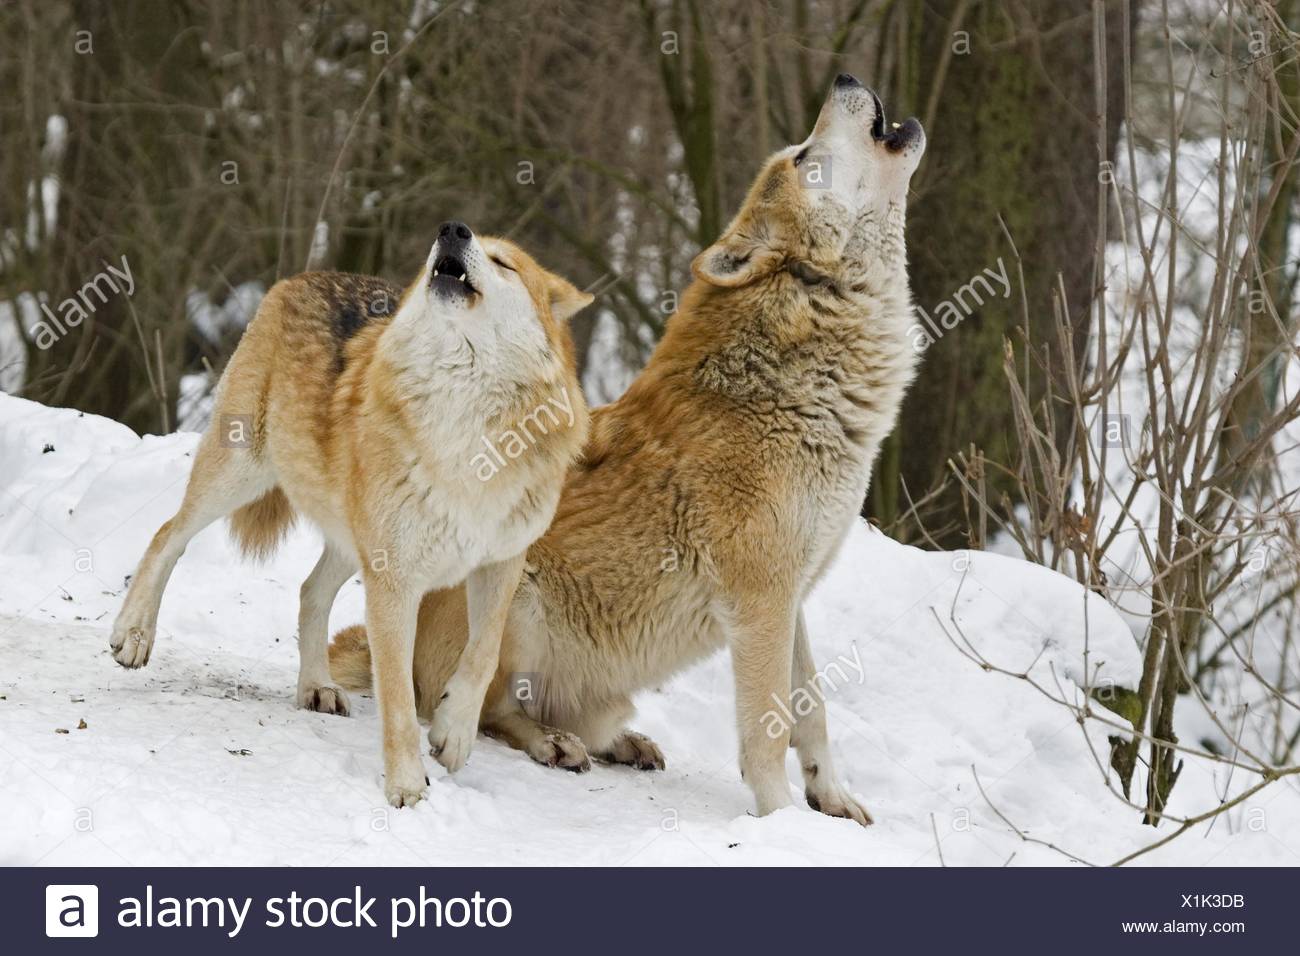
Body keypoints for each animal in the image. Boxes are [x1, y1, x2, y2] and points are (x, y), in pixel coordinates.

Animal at [108, 222, 592, 807]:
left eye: (505, 263)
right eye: (477, 249)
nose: (452, 230)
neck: (467, 430)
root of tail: (304, 276)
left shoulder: (501, 565)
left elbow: (482, 656)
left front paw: (453, 735)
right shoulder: (395, 581)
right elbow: (398, 698)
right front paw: (407, 787)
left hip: (348, 541)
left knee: (308, 591)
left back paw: (315, 686)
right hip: (240, 475)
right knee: (167, 533)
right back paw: (134, 634)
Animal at [330, 74, 926, 823]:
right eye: (802, 155)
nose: (845, 79)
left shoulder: (792, 591)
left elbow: (812, 708)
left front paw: (832, 799)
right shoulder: (760, 597)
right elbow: (768, 729)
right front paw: (781, 819)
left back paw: (621, 742)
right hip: (521, 598)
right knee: (476, 710)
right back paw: (551, 742)